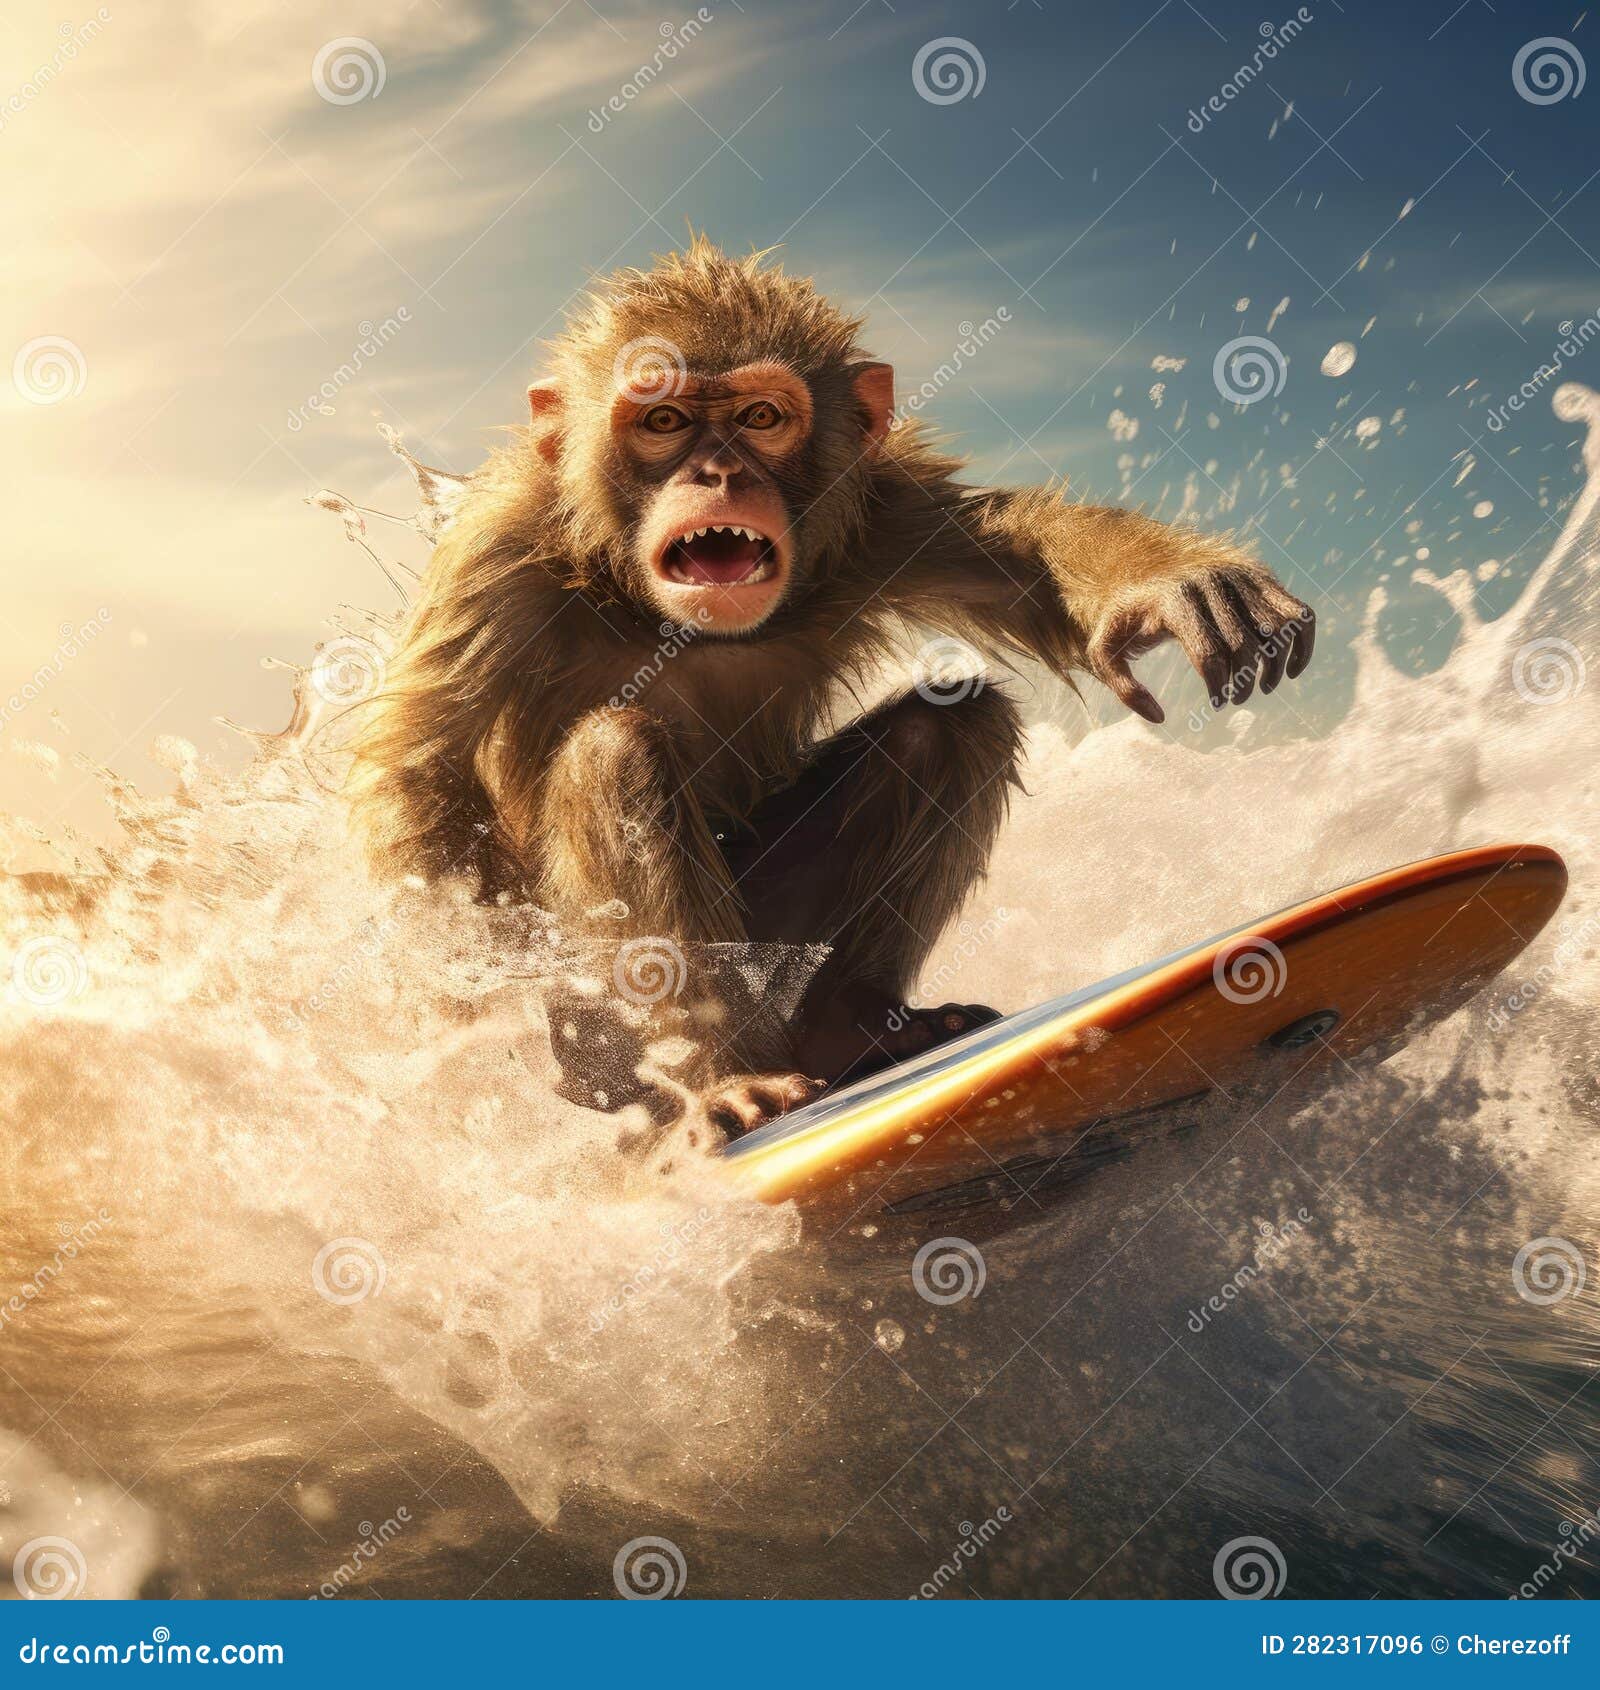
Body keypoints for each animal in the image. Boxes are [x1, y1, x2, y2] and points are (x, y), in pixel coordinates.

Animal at [347, 239, 1314, 1135]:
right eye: (664, 419)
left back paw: (846, 1027)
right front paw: (484, 1032)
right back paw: (722, 1074)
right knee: (617, 752)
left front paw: (1165, 584)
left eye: (760, 416)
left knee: (950, 728)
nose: (717, 472)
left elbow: (1015, 563)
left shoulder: (879, 500)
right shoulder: (497, 546)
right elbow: (421, 775)